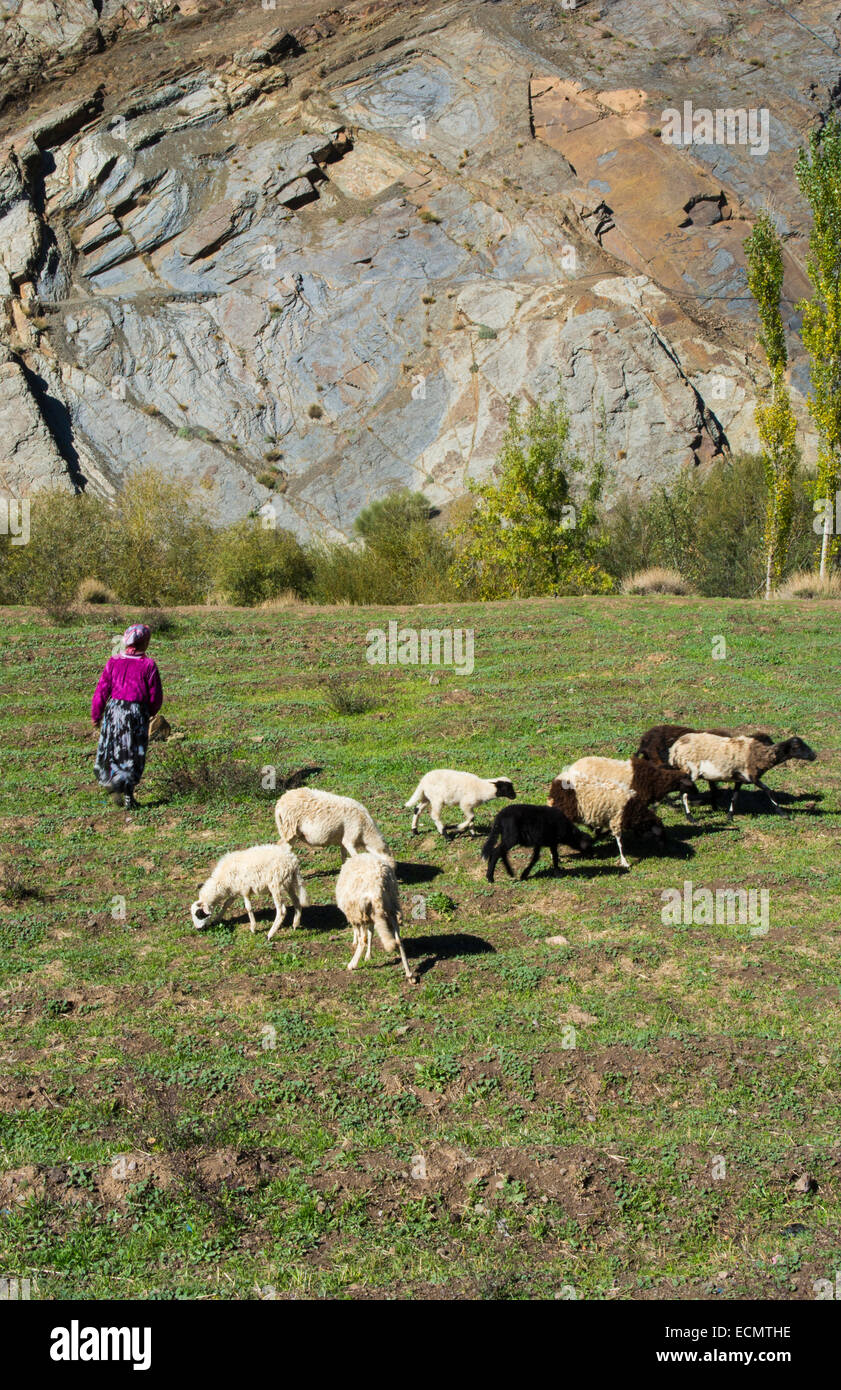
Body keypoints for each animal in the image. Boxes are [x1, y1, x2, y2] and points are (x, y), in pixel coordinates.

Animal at [335, 853, 415, 981]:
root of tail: (377, 887)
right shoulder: (371, 916)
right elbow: (371, 932)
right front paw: (368, 955)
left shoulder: (356, 914)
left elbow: (361, 933)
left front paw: (356, 943)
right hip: (391, 905)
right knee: (398, 940)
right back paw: (410, 974)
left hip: (361, 910)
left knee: (363, 940)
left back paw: (352, 964)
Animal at [669, 732, 816, 818]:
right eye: (797, 747)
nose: (814, 756)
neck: (760, 754)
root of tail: (675, 749)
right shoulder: (752, 776)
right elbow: (768, 791)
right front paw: (783, 813)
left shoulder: (740, 779)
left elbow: (735, 796)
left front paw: (730, 816)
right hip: (690, 770)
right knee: (683, 793)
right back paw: (690, 817)